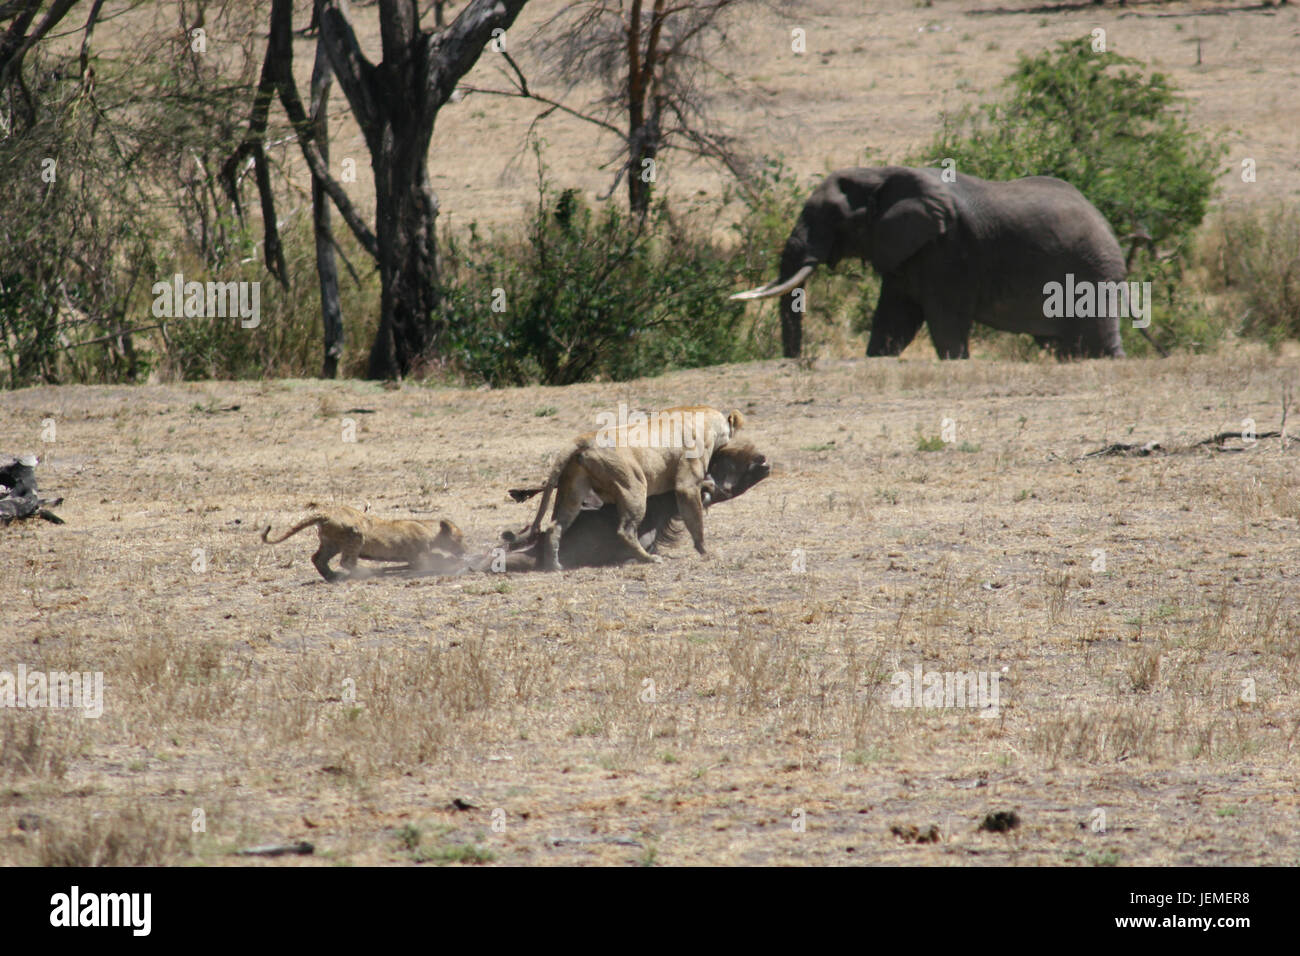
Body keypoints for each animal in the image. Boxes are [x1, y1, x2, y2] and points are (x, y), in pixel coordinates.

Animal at [260, 504, 466, 581]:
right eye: (460, 537)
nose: (465, 550)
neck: (429, 529)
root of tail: (325, 513)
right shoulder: (420, 556)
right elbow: (434, 558)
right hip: (355, 535)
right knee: (346, 561)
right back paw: (366, 572)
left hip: (331, 543)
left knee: (317, 558)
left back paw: (332, 576)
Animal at [518, 405, 744, 569]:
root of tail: (585, 438)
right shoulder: (686, 483)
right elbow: (695, 519)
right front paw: (706, 551)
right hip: (633, 486)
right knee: (625, 530)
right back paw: (649, 559)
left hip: (573, 491)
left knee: (554, 527)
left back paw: (554, 566)